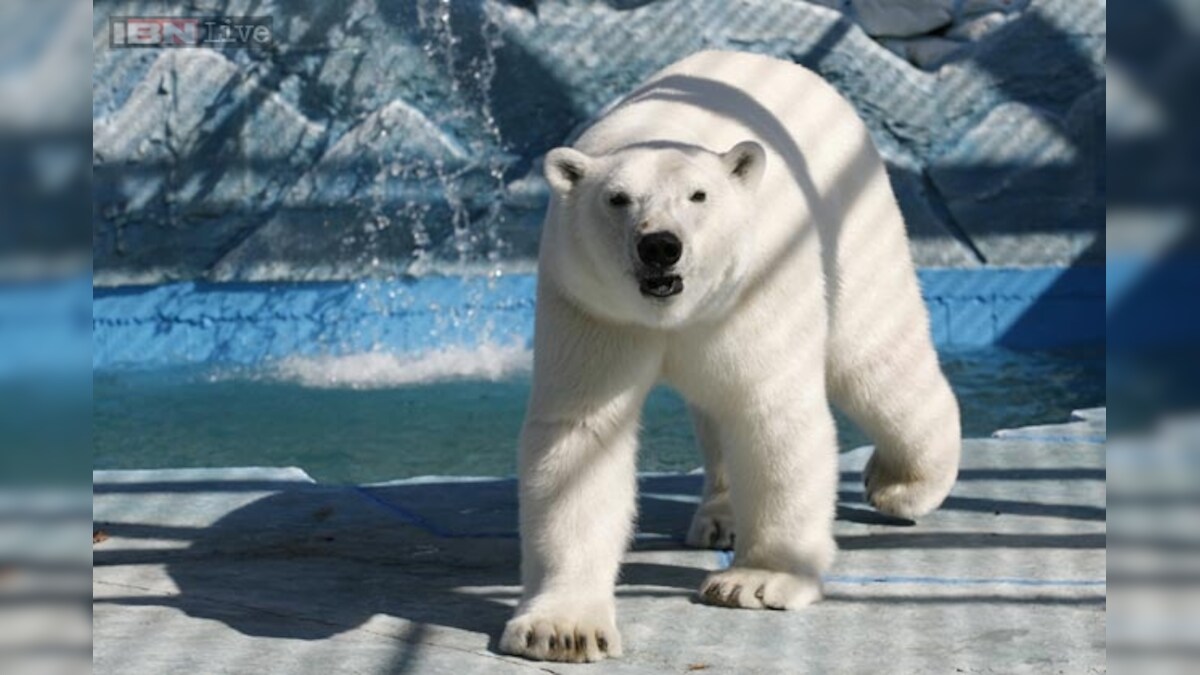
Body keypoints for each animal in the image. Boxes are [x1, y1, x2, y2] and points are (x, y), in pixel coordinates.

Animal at [499, 50, 961, 663]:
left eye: (699, 196)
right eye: (616, 198)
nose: (660, 246)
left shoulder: (757, 283)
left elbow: (769, 412)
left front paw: (758, 581)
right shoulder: (591, 306)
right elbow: (582, 435)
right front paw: (562, 630)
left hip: (852, 214)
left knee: (872, 354)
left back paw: (902, 485)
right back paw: (719, 519)